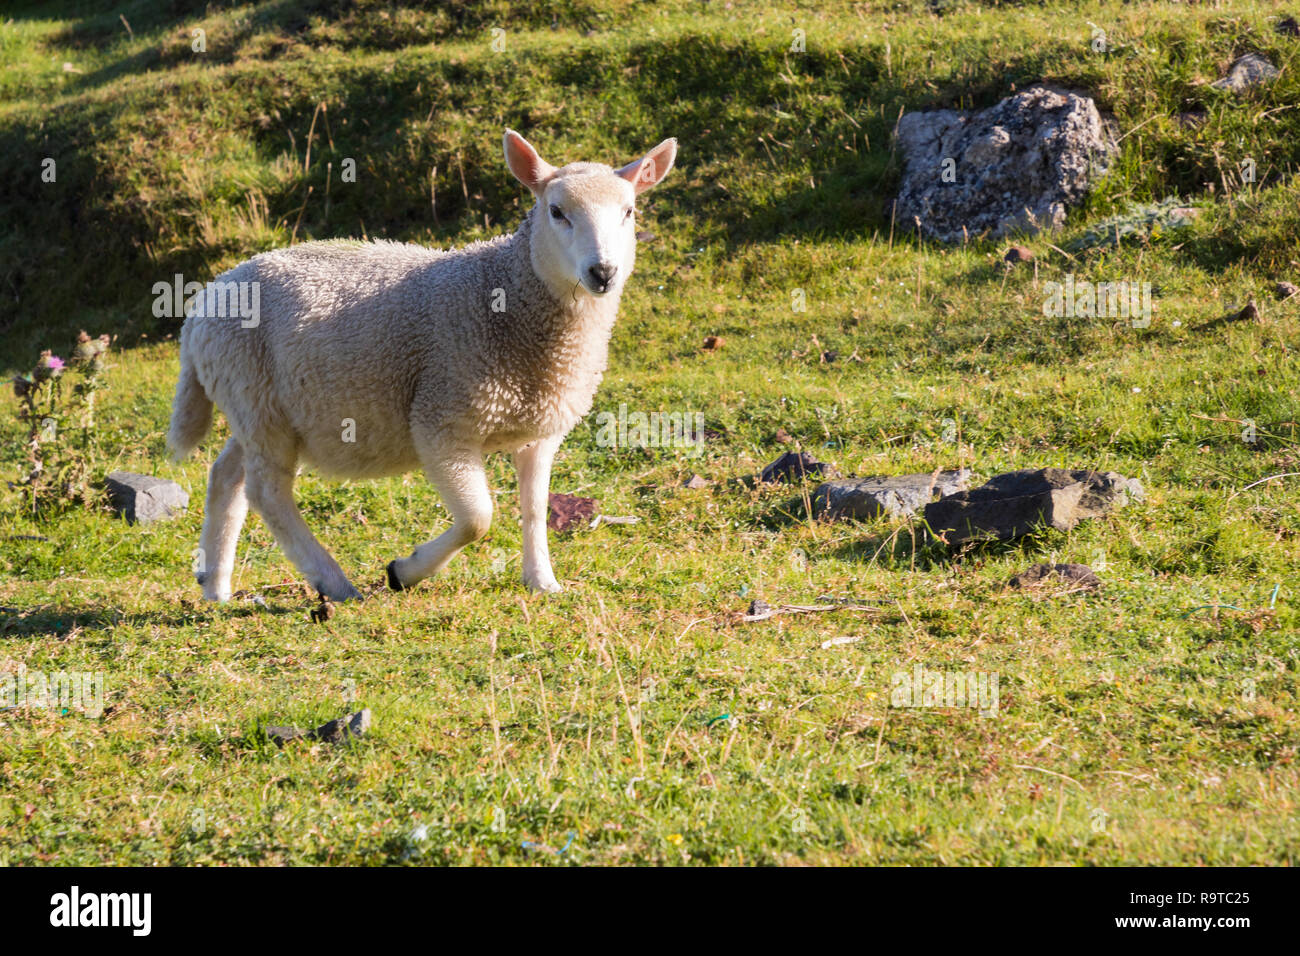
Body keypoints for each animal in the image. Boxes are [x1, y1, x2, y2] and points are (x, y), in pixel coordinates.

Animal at [167, 130, 677, 602]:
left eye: (629, 212)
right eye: (556, 212)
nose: (602, 273)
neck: (508, 295)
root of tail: (203, 304)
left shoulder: (541, 428)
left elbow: (533, 508)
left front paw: (542, 581)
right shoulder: (441, 418)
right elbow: (477, 518)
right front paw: (405, 570)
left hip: (256, 403)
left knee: (227, 475)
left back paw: (216, 584)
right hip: (255, 396)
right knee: (267, 490)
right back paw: (332, 581)